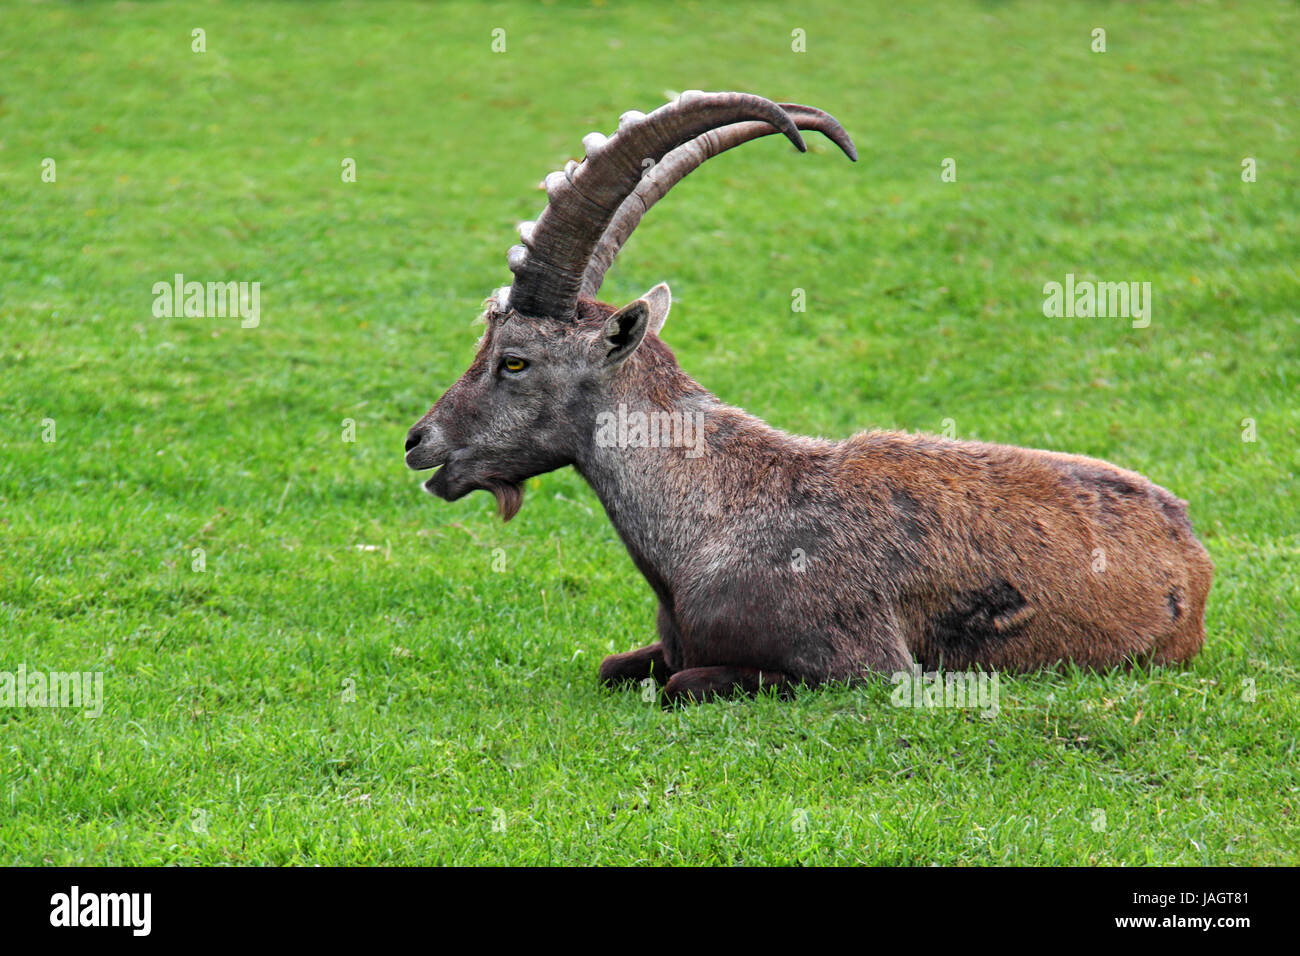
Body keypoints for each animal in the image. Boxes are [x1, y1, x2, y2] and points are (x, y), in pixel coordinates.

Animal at [404, 91, 1213, 705]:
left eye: (514, 360)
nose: (419, 441)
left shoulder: (863, 667)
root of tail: (1191, 544)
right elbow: (614, 667)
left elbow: (681, 685)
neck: (712, 518)